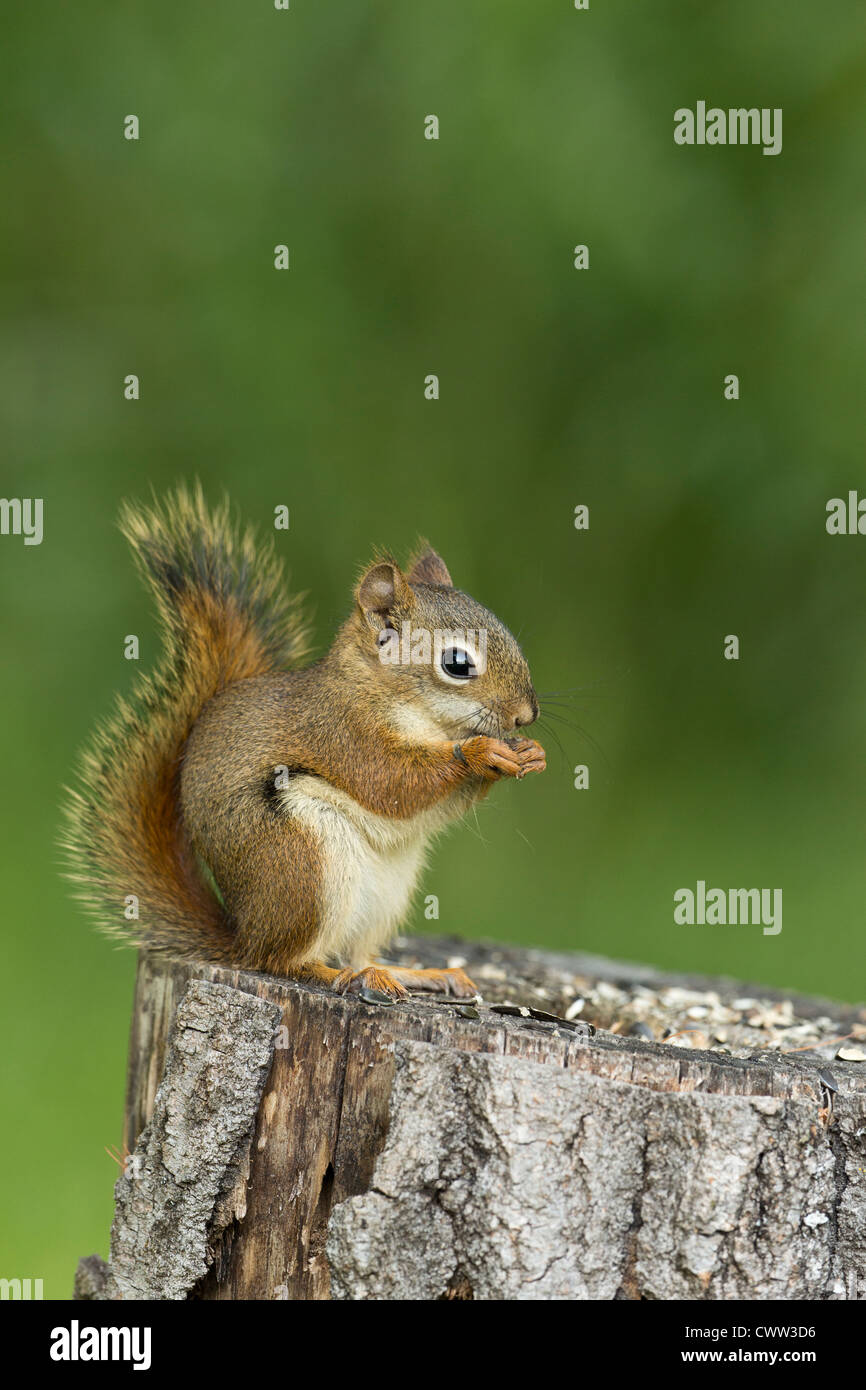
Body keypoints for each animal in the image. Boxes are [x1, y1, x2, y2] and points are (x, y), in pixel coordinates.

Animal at [64, 485, 546, 1000]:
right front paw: (480, 752)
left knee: (356, 949)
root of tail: (245, 934)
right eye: (457, 663)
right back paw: (341, 976)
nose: (527, 715)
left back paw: (413, 973)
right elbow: (391, 784)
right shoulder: (343, 734)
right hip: (306, 863)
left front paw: (529, 754)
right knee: (283, 961)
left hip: (384, 892)